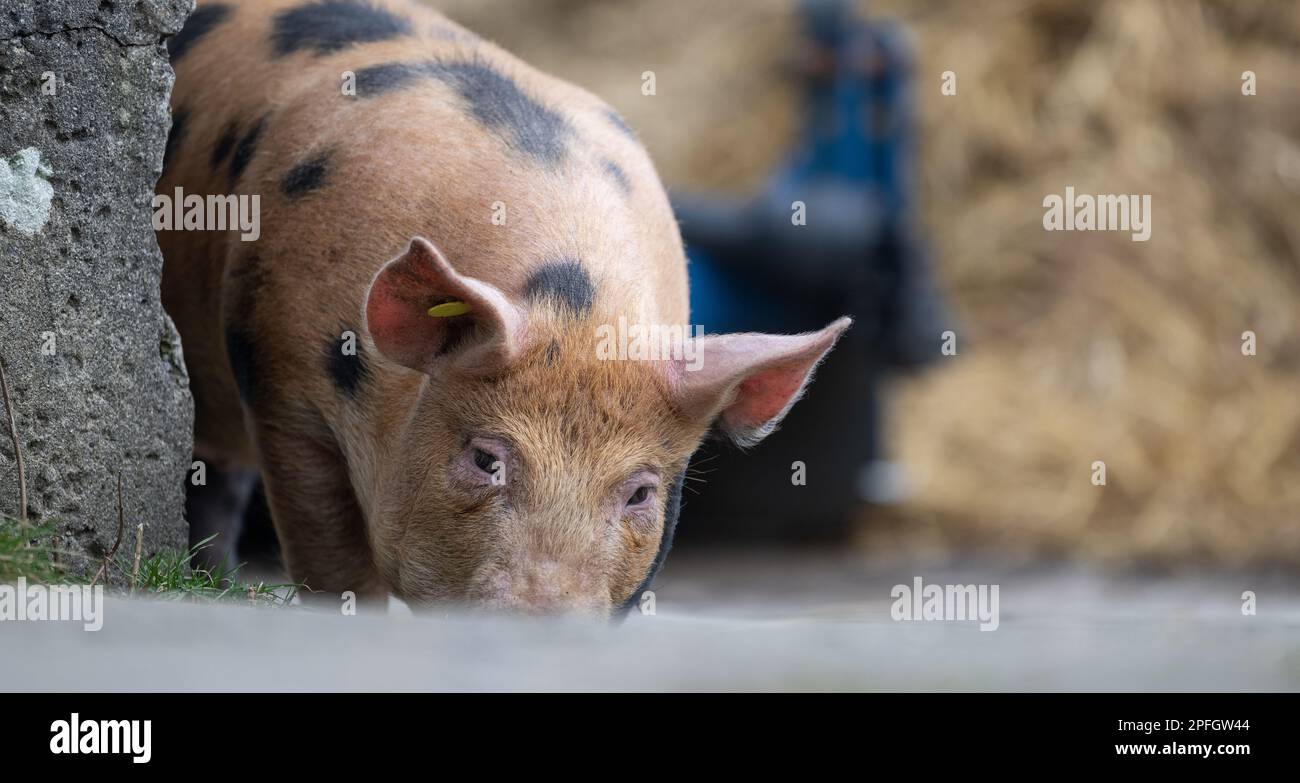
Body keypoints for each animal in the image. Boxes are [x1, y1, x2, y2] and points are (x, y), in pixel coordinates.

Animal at [158, 0, 850, 615]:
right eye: (486, 459)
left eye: (640, 492)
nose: (541, 615)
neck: (577, 311)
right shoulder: (278, 375)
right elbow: (334, 558)